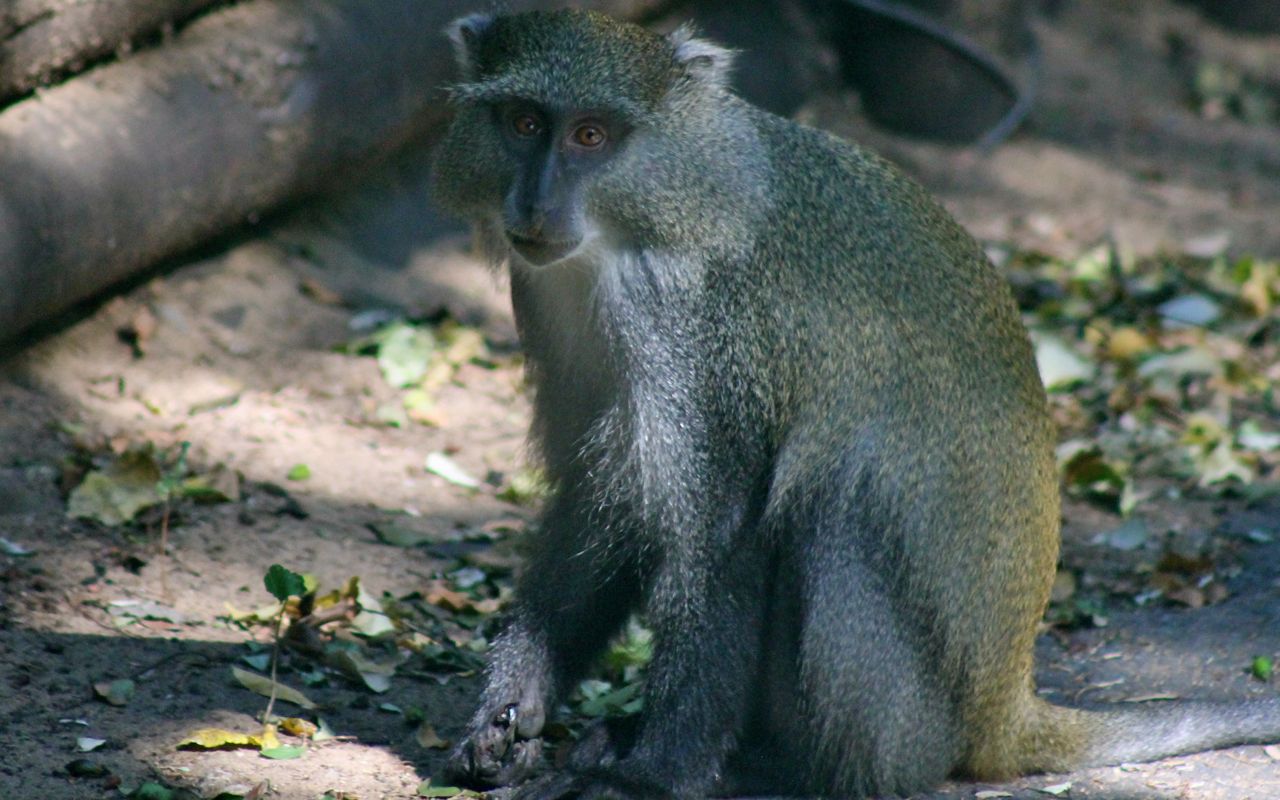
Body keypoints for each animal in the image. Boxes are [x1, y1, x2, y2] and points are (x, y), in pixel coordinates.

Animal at [429, 9, 1280, 799]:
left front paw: (655, 775)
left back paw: (784, 767)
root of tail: (1006, 712)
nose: (536, 204)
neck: (647, 218)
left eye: (592, 135)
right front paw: (508, 711)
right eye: (525, 123)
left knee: (839, 494)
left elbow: (717, 539)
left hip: (917, 713)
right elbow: (598, 510)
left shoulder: (693, 336)